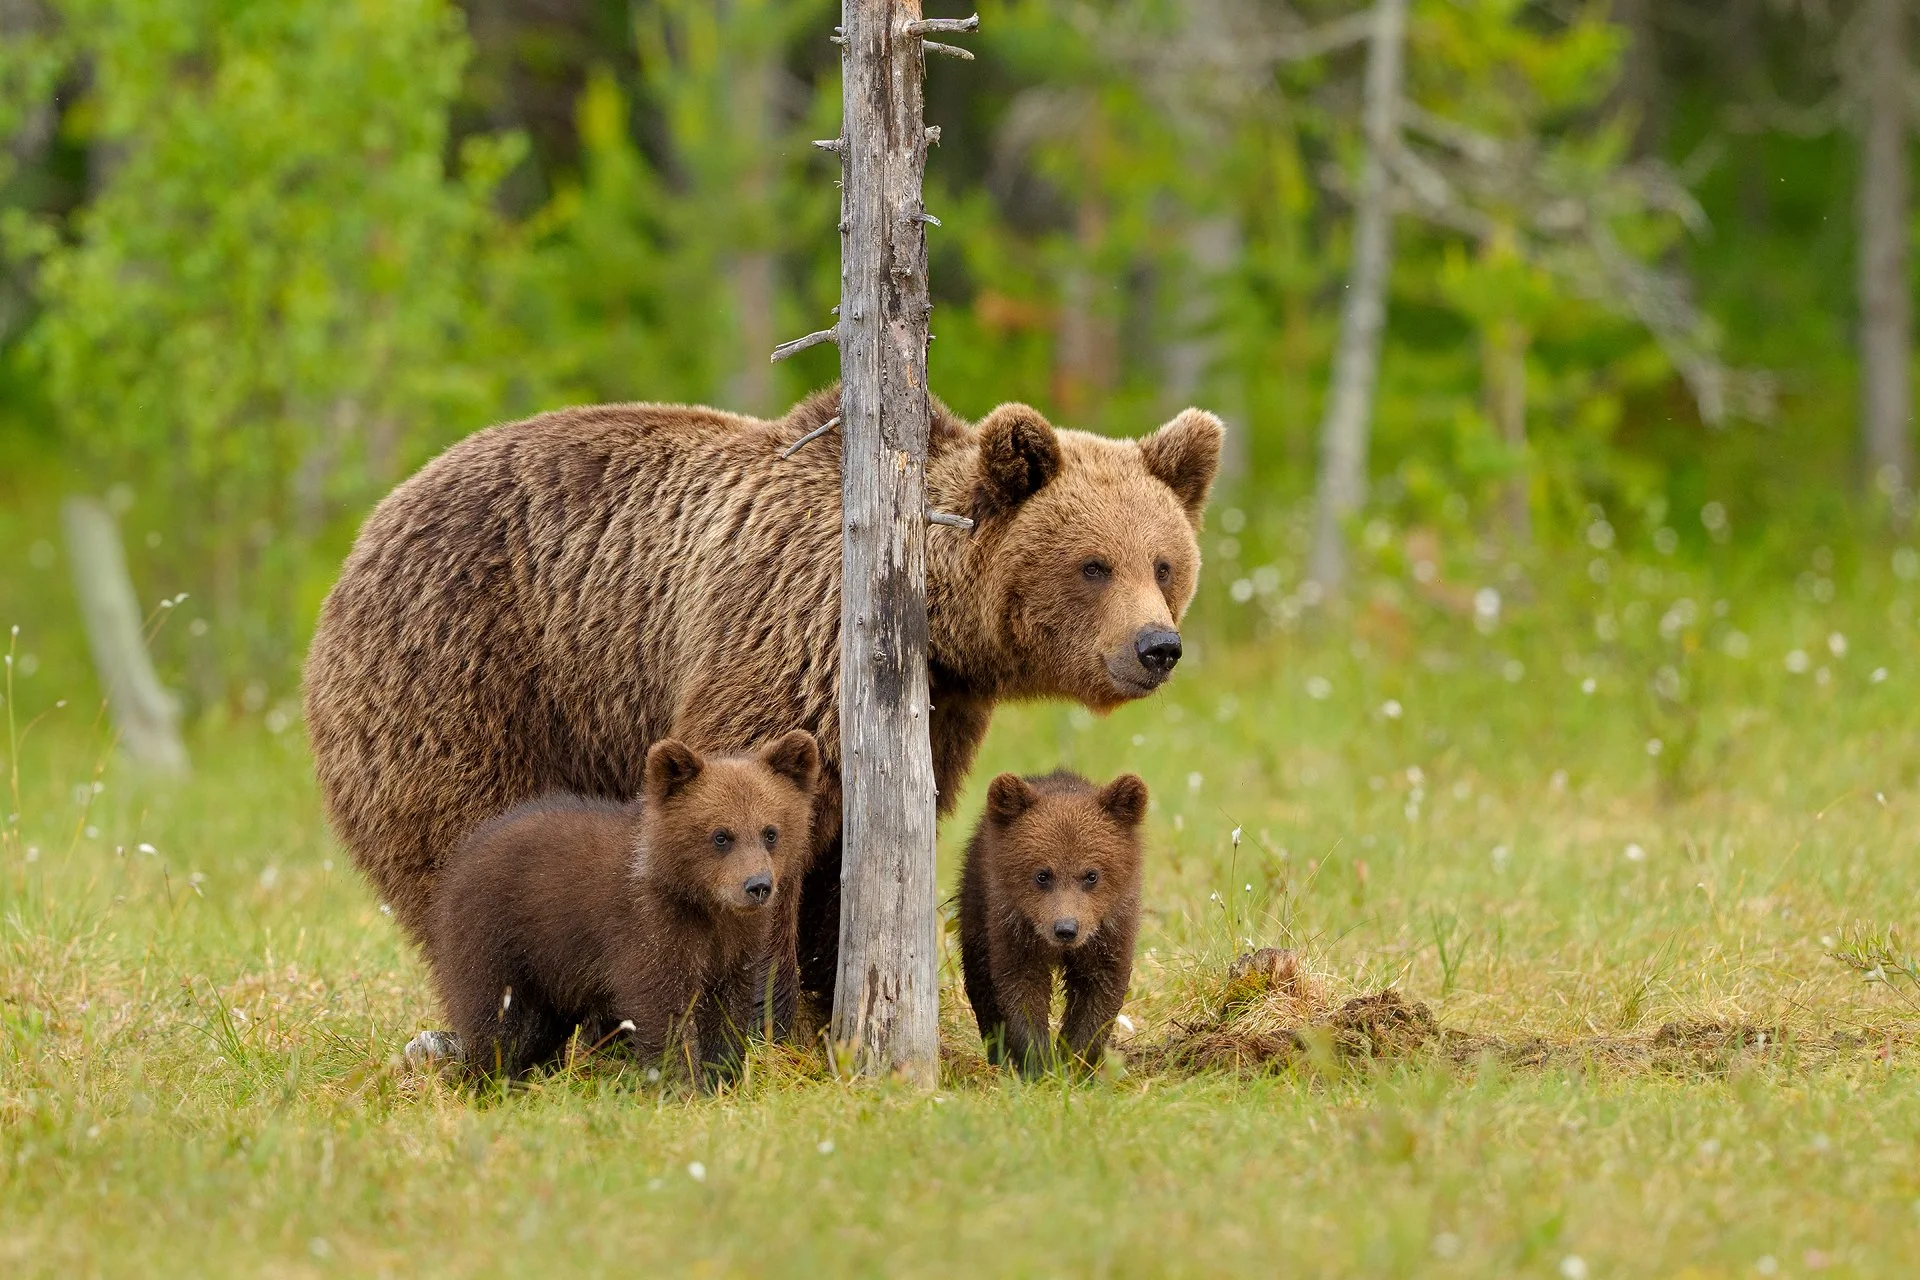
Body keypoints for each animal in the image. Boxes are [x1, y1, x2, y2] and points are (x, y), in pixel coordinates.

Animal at [302, 385, 1221, 1028]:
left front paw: (825, 1002)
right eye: (1094, 565)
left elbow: (845, 861)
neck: (929, 618)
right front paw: (772, 1018)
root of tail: (367, 529)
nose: (1156, 646)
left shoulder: (937, 710)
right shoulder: (797, 644)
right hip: (470, 678)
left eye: (1164, 562)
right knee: (462, 841)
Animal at [425, 730, 820, 1081]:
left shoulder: (735, 948)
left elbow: (729, 1011)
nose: (757, 886)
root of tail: (464, 853)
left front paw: (723, 1078)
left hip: (553, 969)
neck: (700, 902)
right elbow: (661, 1013)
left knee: (542, 1026)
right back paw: (488, 1079)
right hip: (495, 936)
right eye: (720, 835)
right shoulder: (648, 932)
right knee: (493, 1014)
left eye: (771, 832)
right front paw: (680, 1083)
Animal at [957, 769, 1148, 1075]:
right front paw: (1039, 1064)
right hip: (976, 902)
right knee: (979, 975)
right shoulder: (1013, 925)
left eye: (1091, 875)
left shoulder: (1110, 929)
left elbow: (1099, 992)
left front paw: (1075, 1063)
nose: (1066, 929)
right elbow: (1021, 989)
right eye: (1042, 874)